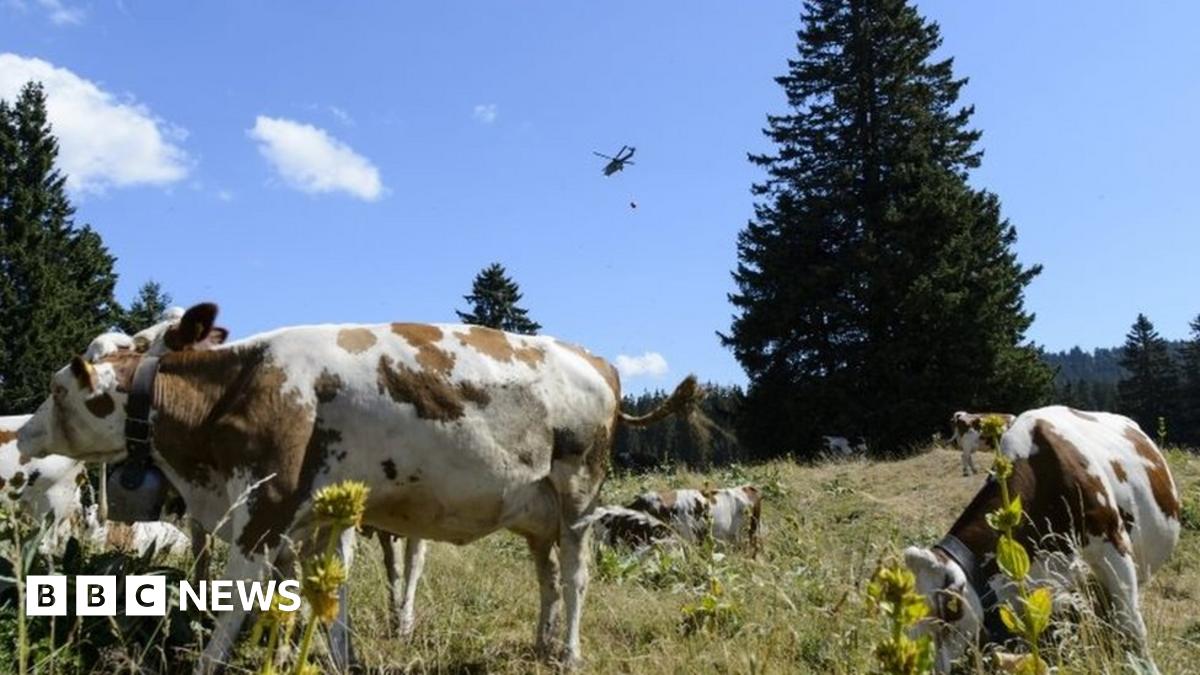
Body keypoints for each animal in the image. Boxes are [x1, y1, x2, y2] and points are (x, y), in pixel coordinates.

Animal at [18, 303, 699, 671]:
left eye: (57, 390)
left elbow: (238, 607)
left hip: (580, 493)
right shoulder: (311, 520)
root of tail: (595, 359)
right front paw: (322, 658)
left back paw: (571, 654)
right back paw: (541, 644)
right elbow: (319, 601)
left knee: (577, 578)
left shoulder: (263, 510)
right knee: (548, 579)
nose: (21, 434)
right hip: (538, 513)